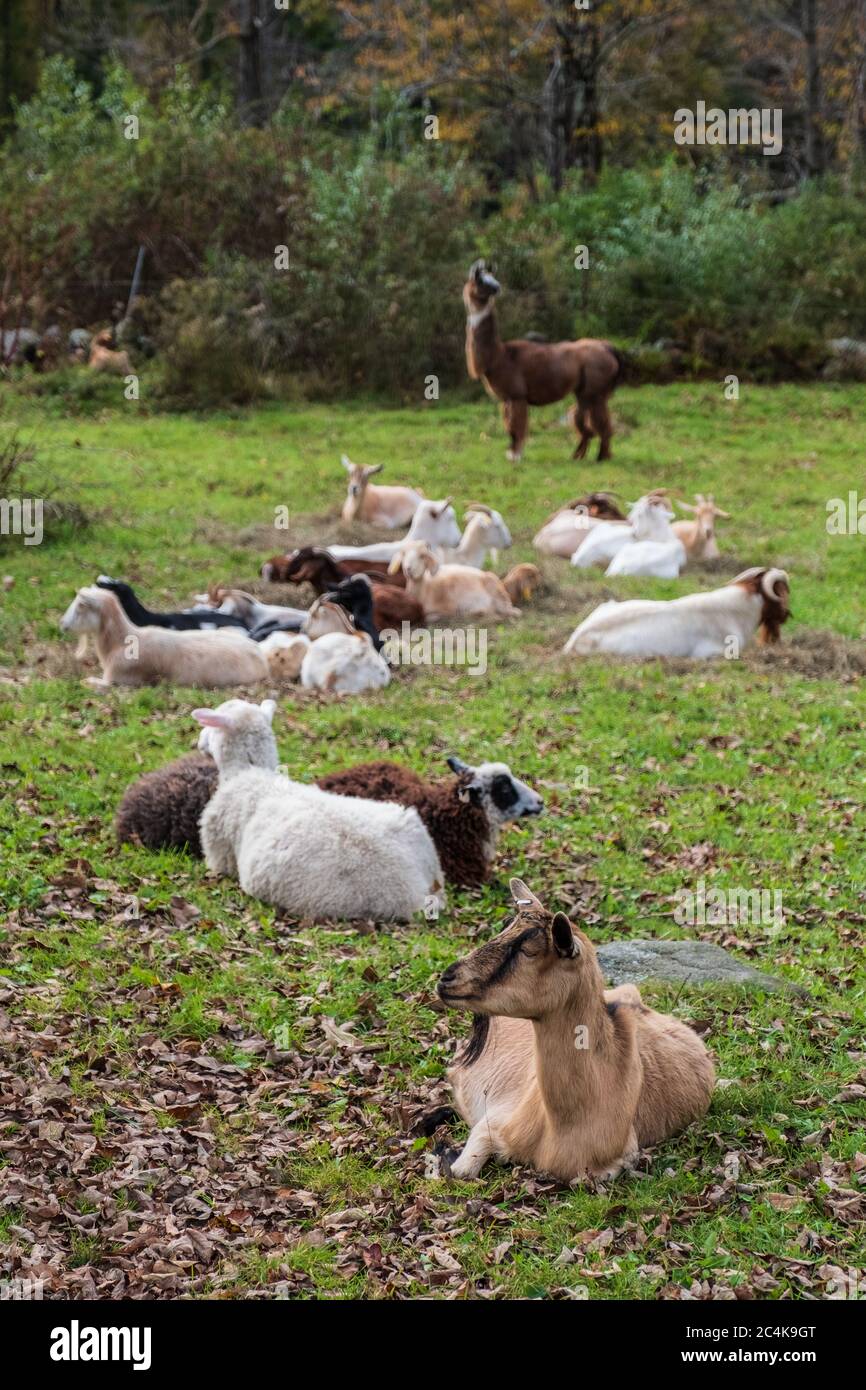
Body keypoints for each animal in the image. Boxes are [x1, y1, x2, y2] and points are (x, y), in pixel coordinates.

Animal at [388, 541, 519, 622]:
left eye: (422, 556)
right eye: (403, 555)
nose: (408, 569)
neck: (426, 588)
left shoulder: (447, 607)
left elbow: (430, 616)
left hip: (498, 592)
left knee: (511, 611)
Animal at [463, 260, 624, 461]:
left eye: (493, 279)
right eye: (482, 280)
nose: (497, 288)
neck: (498, 356)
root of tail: (608, 347)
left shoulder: (517, 394)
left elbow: (517, 427)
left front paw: (516, 456)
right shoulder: (507, 398)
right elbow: (509, 427)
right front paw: (512, 453)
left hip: (596, 389)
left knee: (601, 424)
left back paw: (601, 457)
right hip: (585, 391)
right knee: (586, 422)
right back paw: (580, 456)